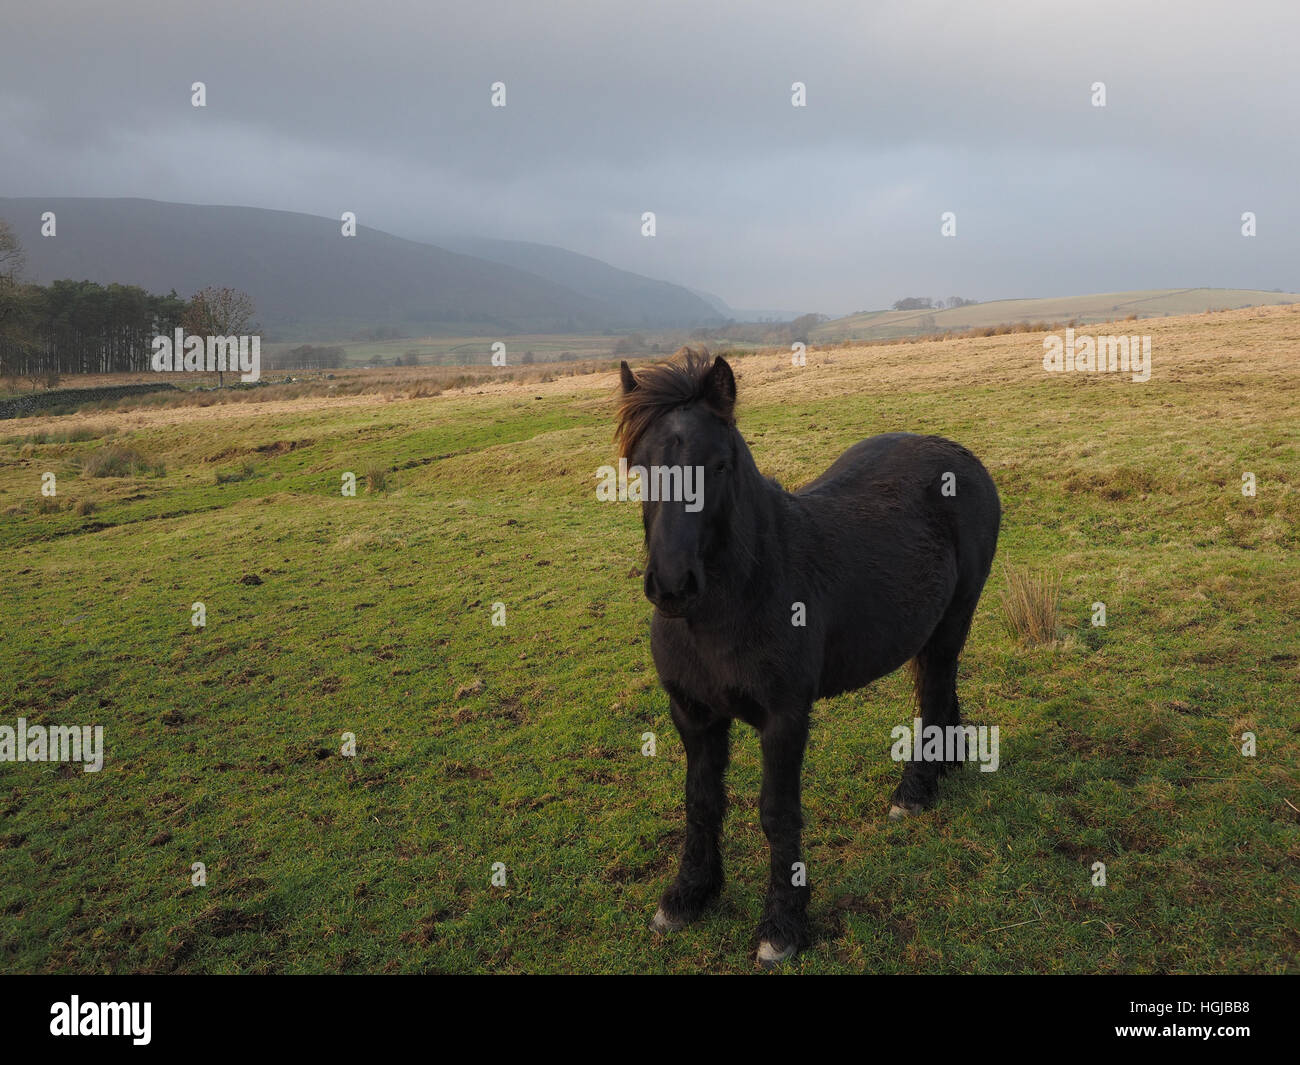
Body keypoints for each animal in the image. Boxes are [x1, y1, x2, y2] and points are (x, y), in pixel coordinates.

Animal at [615, 347, 1001, 966]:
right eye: (640, 469)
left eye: (718, 466)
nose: (673, 585)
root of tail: (957, 453)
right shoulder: (693, 716)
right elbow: (701, 802)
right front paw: (688, 896)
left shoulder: (785, 719)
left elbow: (778, 813)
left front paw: (782, 927)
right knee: (938, 694)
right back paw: (944, 768)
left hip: (953, 620)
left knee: (936, 692)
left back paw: (915, 792)